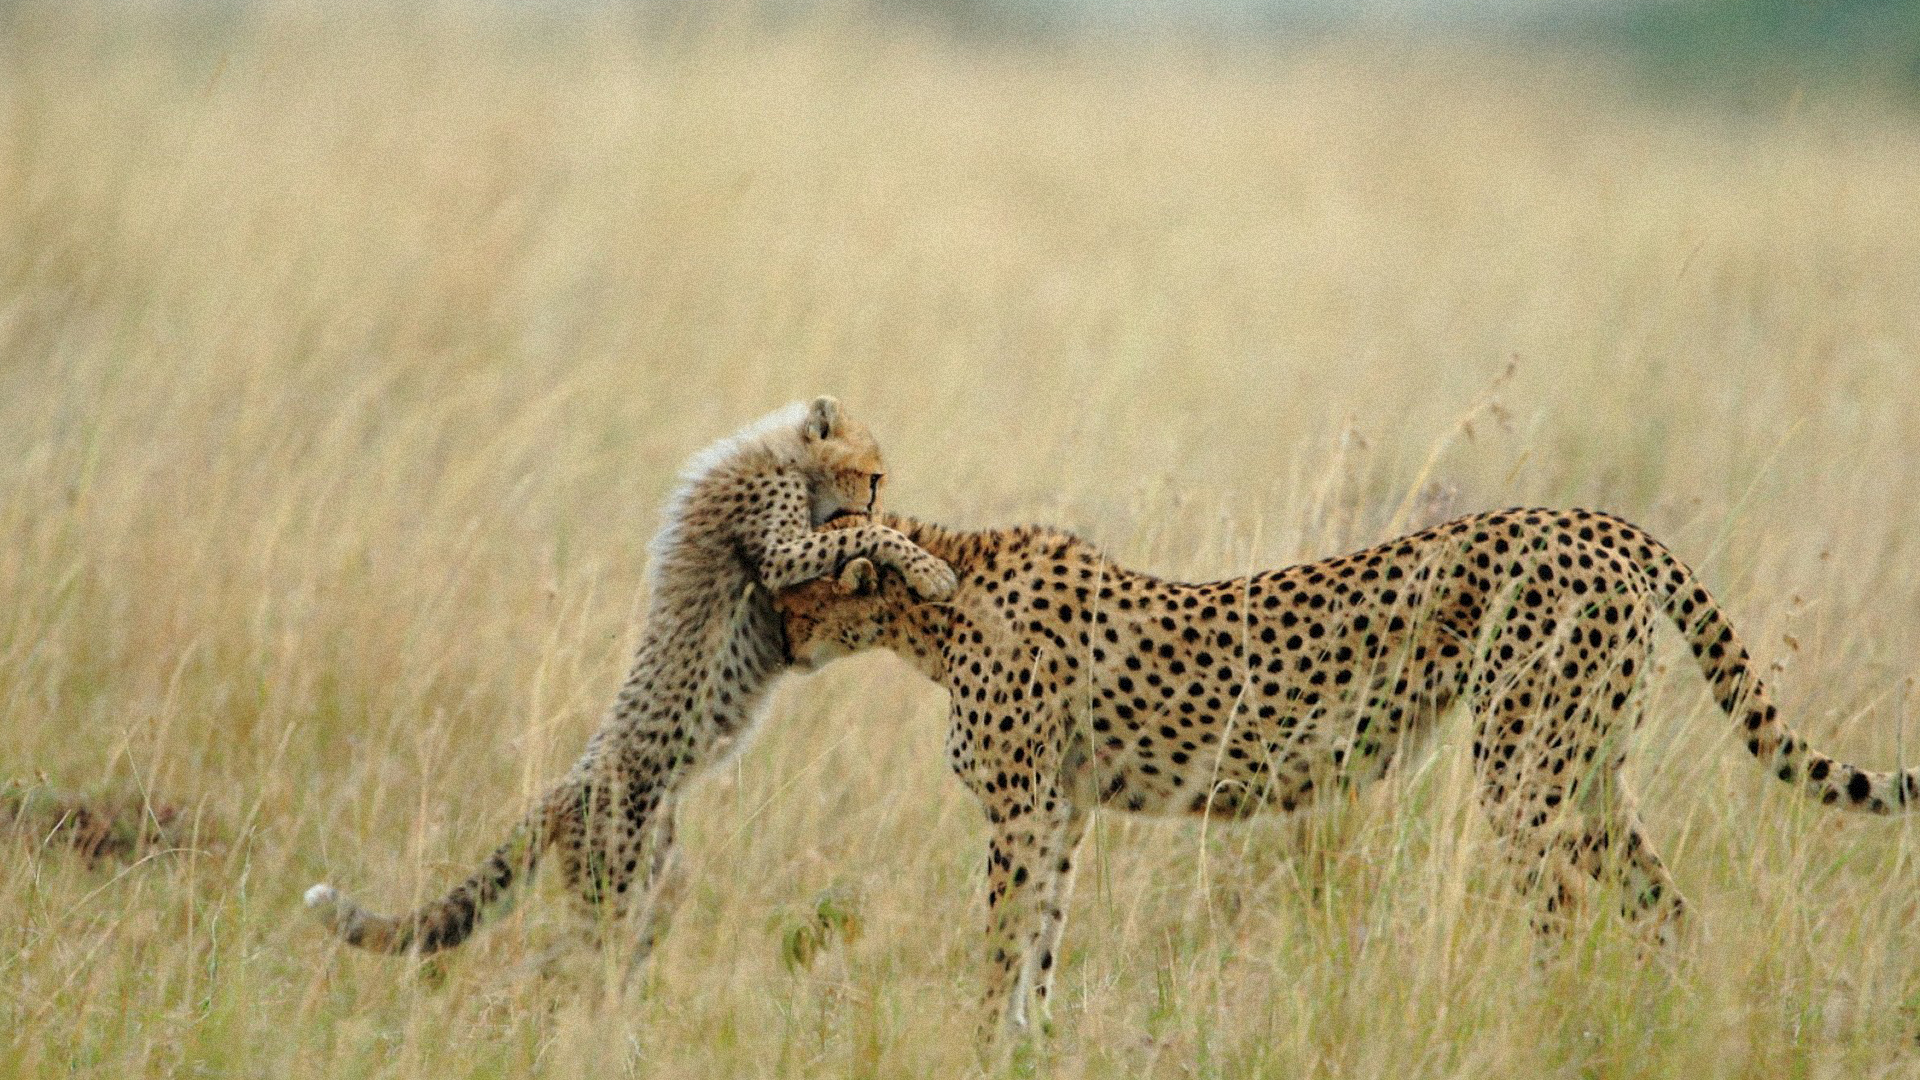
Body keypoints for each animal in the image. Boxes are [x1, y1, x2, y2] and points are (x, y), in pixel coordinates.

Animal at [304, 397, 957, 981]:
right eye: (873, 476)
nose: (878, 496)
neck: (784, 453)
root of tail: (562, 788)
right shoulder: (778, 553)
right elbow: (860, 537)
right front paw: (928, 567)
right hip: (610, 886)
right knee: (569, 961)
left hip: (659, 879)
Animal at [773, 507, 1920, 1040]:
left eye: (787, 592)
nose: (773, 642)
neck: (929, 601)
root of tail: (1595, 519)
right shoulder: (1058, 813)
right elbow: (1038, 952)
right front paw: (1030, 1042)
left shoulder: (1021, 813)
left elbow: (1001, 949)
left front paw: (979, 1042)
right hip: (1589, 770)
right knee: (1666, 909)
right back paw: (1647, 1025)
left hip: (1523, 769)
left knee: (1561, 906)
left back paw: (1545, 1023)